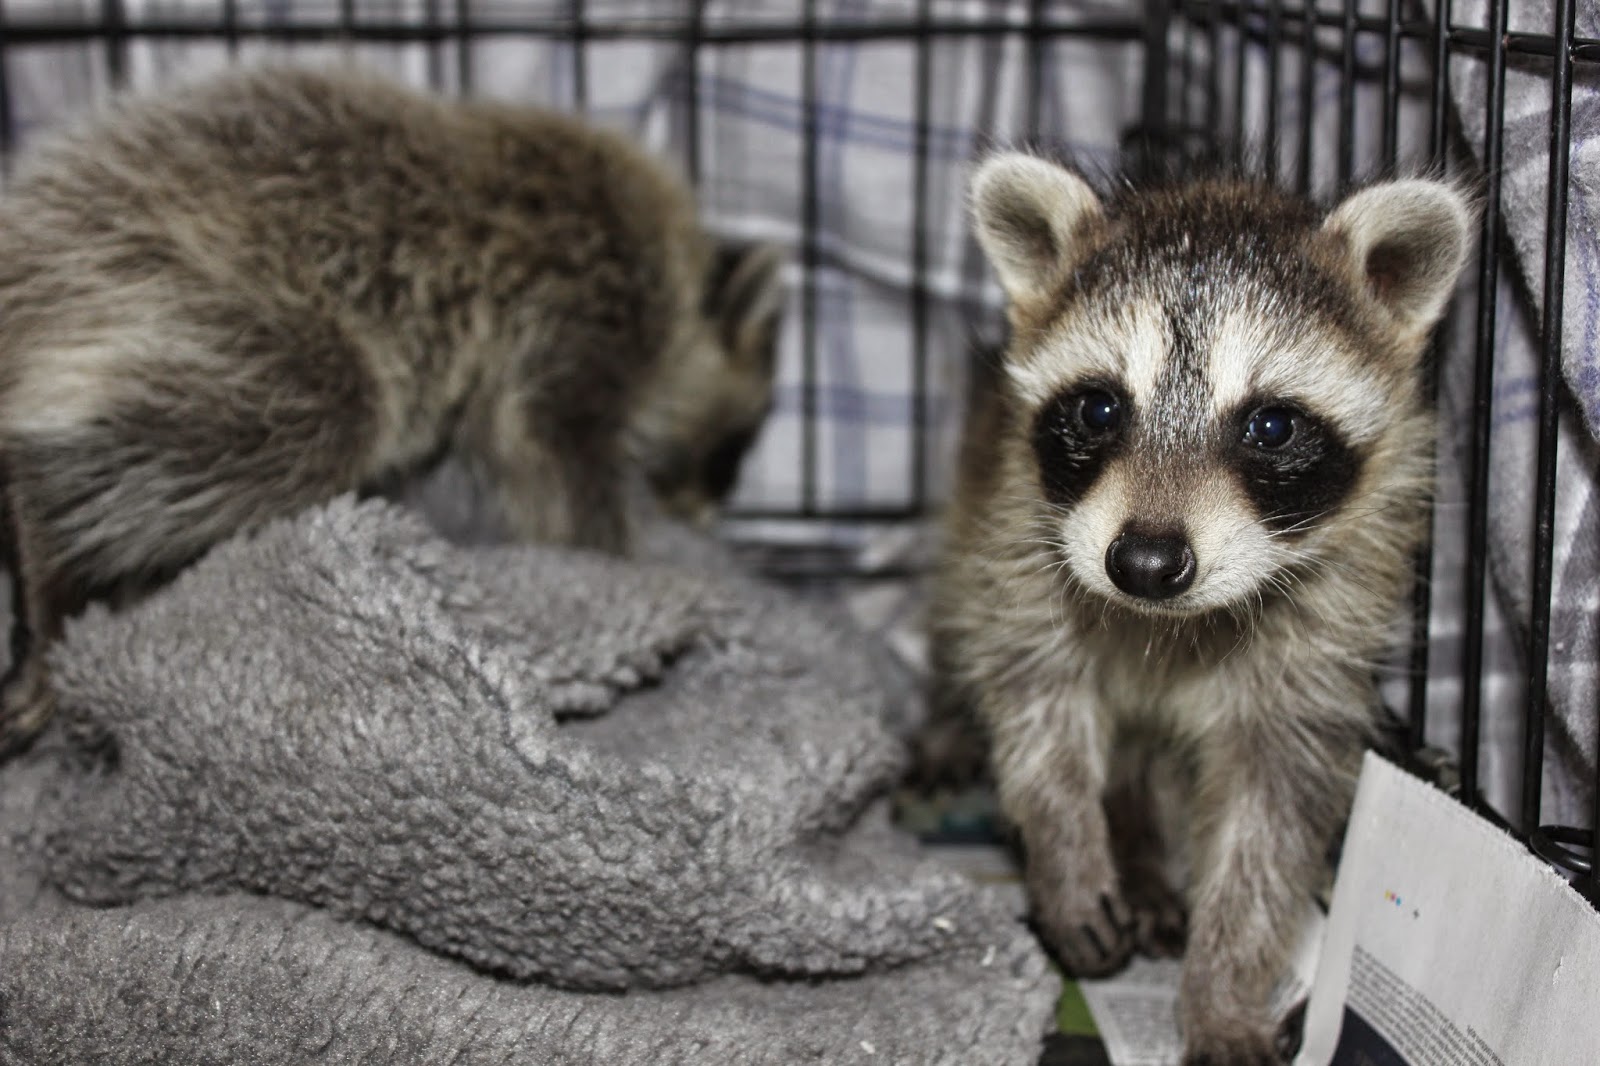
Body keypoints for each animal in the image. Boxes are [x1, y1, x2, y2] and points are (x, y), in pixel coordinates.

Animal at [0, 65, 785, 759]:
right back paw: (48, 536)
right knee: (297, 422)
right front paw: (630, 564)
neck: (678, 278)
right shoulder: (581, 301)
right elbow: (548, 448)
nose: (706, 515)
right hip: (185, 291)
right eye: (729, 453)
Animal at [933, 153, 1472, 1064]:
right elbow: (1036, 710)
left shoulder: (1331, 625)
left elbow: (1269, 822)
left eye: (1272, 425)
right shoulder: (1013, 541)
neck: (1169, 625)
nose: (1145, 565)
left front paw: (1224, 986)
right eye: (1099, 407)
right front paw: (1066, 849)